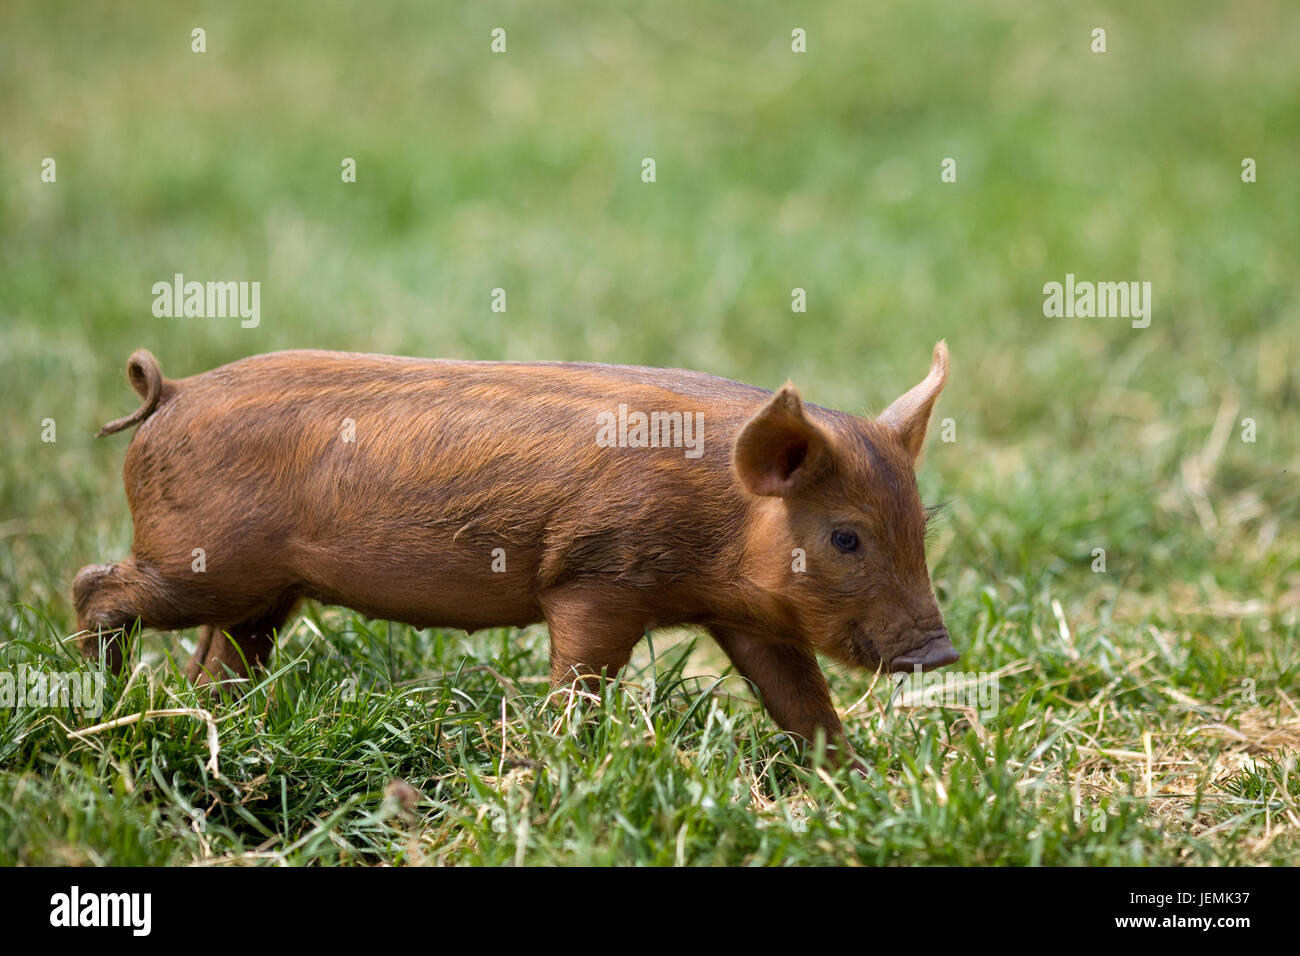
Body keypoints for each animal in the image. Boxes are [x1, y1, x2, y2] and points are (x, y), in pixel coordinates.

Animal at [74, 343, 956, 759]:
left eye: (920, 530)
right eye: (845, 536)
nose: (941, 653)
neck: (722, 517)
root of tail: (170, 392)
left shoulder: (747, 617)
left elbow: (801, 702)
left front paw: (853, 777)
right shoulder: (594, 574)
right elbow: (582, 676)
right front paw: (563, 752)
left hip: (258, 593)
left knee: (220, 657)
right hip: (199, 561)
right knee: (94, 583)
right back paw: (99, 690)